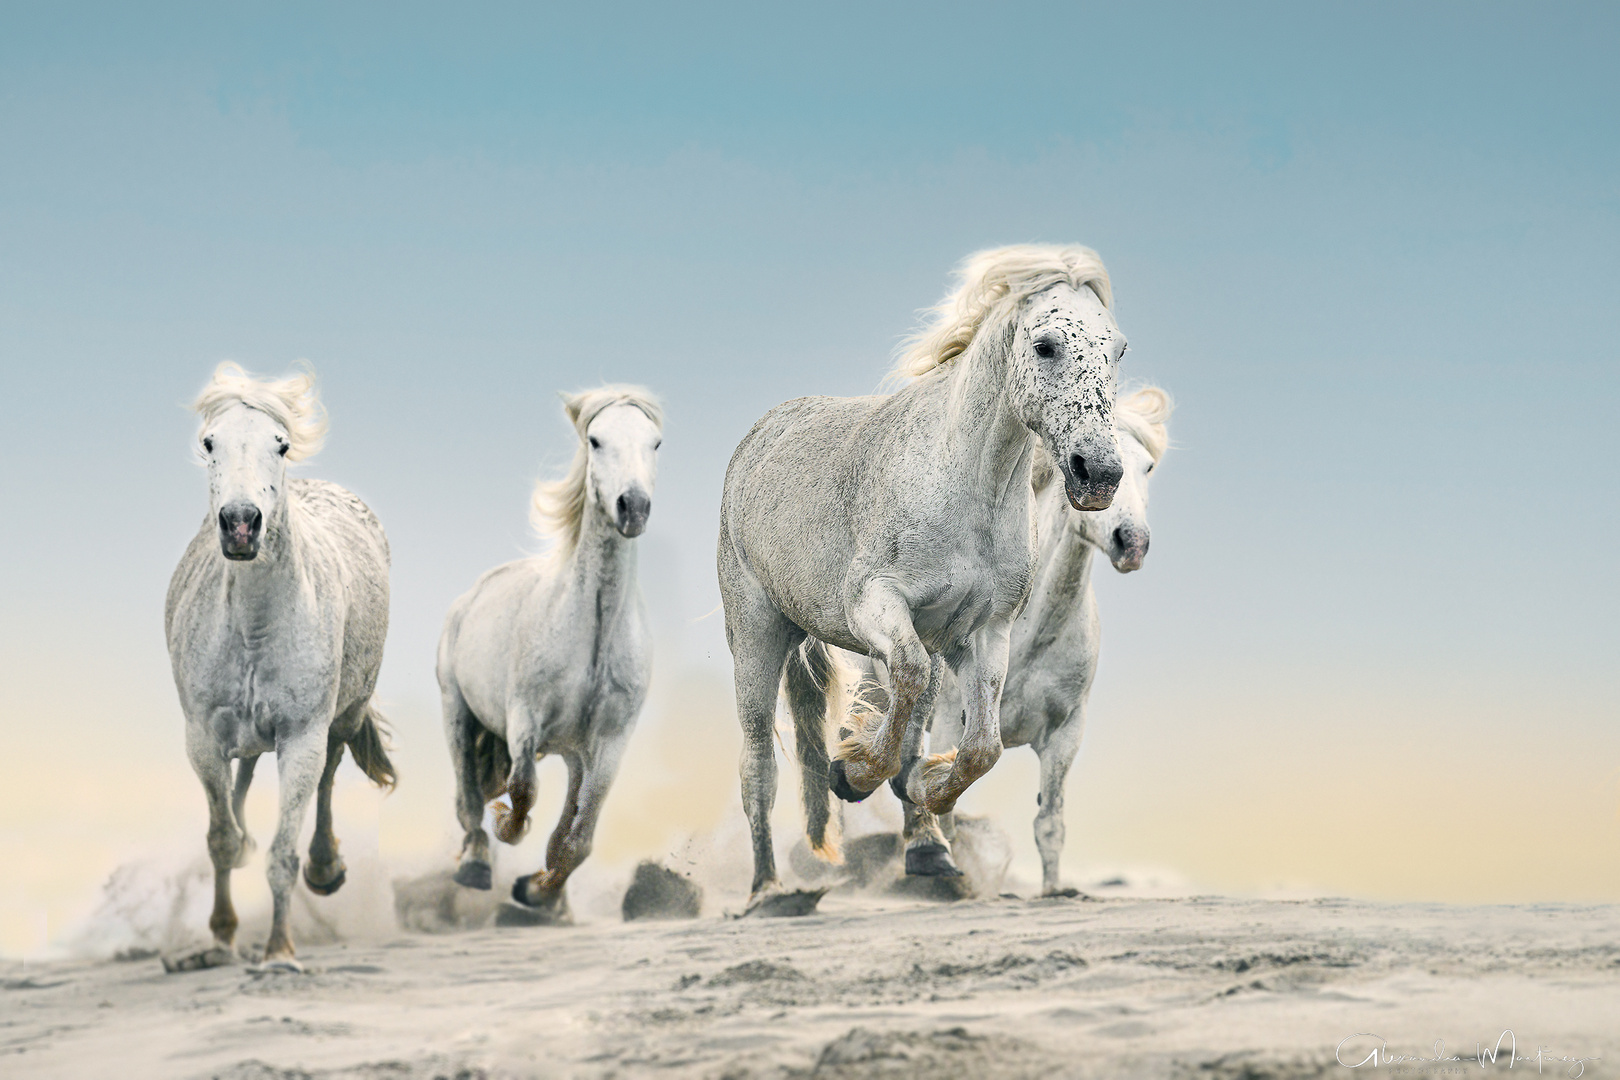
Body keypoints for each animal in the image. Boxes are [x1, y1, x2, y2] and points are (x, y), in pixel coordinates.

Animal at [165, 362, 395, 971]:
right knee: (241, 788)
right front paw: (221, 935)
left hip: (340, 718)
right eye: (209, 442)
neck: (253, 627)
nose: (242, 524)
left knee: (329, 779)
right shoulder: (204, 739)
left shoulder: (301, 736)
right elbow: (223, 839)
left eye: (281, 444)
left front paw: (279, 950)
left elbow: (283, 852)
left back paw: (326, 868)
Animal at [440, 382, 660, 919]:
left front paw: (540, 891)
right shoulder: (525, 718)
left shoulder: (610, 741)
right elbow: (521, 791)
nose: (633, 507)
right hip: (457, 713)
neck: (594, 632)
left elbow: (579, 835)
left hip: (575, 752)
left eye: (656, 442)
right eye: (596, 440)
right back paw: (474, 863)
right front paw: (506, 826)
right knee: (466, 796)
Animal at [719, 247, 1127, 913]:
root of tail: (761, 435)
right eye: (1044, 346)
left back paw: (925, 843)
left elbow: (981, 748)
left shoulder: (984, 633)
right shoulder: (875, 607)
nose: (1099, 473)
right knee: (758, 766)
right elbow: (903, 685)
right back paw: (767, 889)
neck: (963, 480)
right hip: (756, 634)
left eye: (1118, 349)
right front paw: (852, 771)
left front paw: (926, 789)